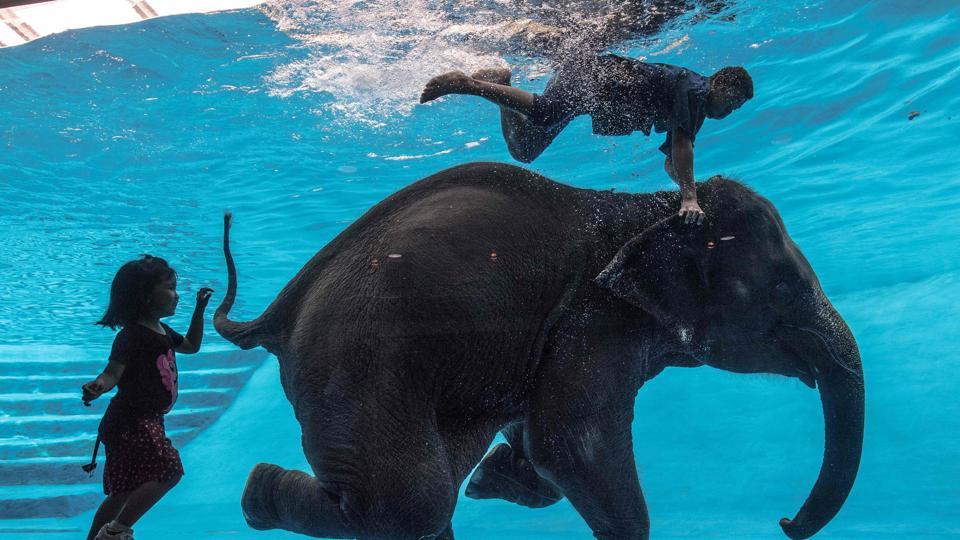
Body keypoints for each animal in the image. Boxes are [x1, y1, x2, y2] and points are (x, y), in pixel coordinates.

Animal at [213, 162, 863, 540]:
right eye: (784, 289)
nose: (784, 522)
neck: (650, 210)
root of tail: (273, 317)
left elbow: (542, 440)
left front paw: (494, 477)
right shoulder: (593, 317)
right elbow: (570, 442)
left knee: (433, 491)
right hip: (353, 366)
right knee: (409, 503)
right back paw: (254, 495)